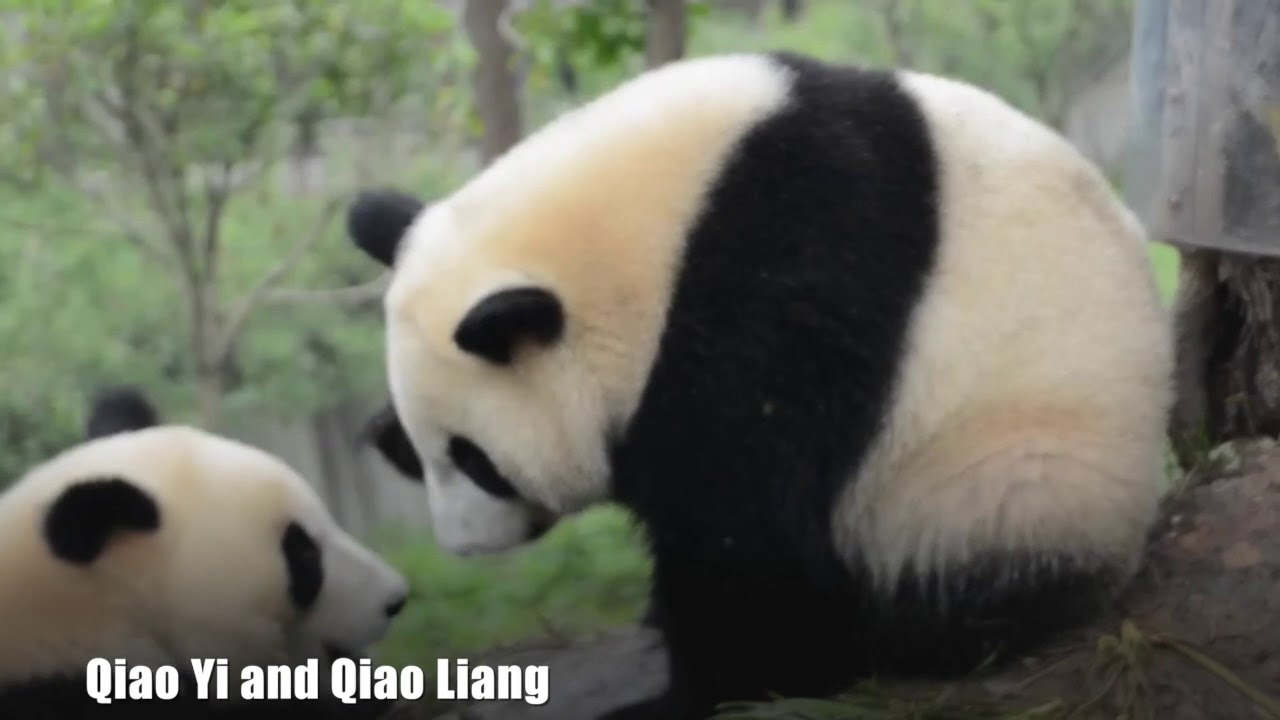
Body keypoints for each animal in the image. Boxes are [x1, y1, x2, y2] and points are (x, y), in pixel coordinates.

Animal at [348, 52, 1174, 720]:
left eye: (474, 458)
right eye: (418, 450)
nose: (463, 545)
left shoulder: (780, 274)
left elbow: (741, 530)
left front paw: (698, 692)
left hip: (1002, 474)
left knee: (964, 573)